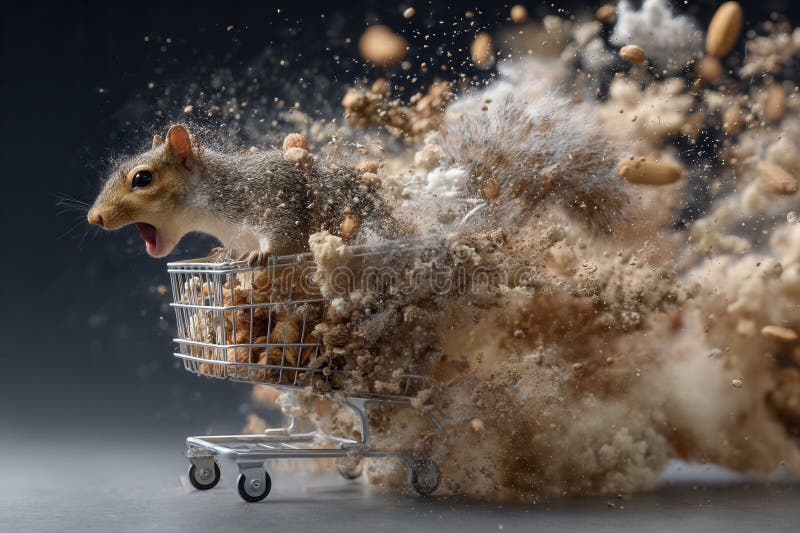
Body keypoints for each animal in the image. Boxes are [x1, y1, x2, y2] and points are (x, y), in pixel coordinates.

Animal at [88, 124, 396, 264]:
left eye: (142, 178)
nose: (94, 218)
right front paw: (221, 253)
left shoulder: (273, 198)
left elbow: (285, 235)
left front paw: (262, 253)